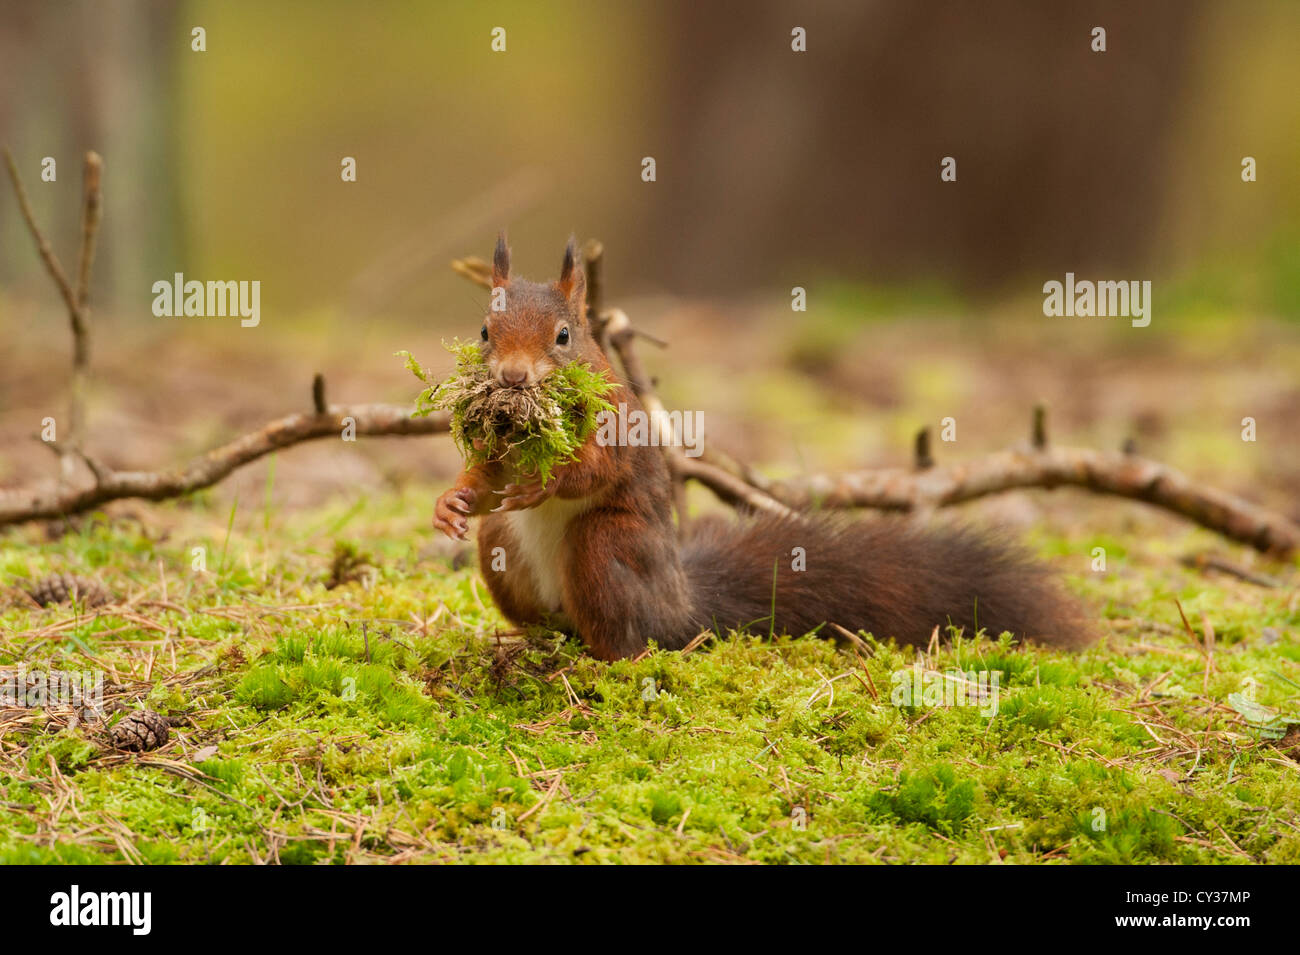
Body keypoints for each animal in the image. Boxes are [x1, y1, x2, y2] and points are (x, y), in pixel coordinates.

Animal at [434, 236, 1092, 661]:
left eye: (564, 336)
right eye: (485, 332)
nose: (513, 378)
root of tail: (680, 605)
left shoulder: (616, 423)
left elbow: (596, 469)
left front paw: (544, 482)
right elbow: (486, 475)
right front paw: (451, 502)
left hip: (606, 547)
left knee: (629, 640)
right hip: (503, 548)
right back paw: (530, 640)